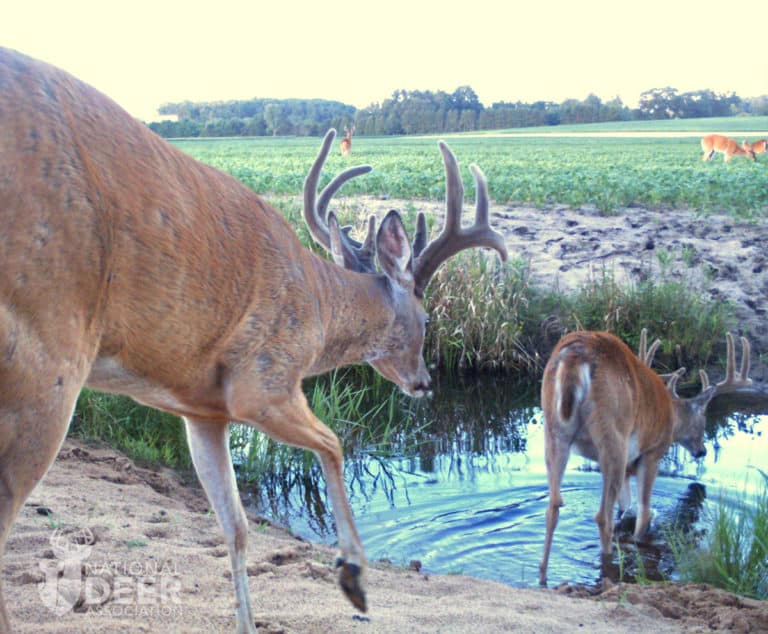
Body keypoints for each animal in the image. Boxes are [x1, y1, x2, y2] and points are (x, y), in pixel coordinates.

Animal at [0, 48, 508, 633]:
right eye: (426, 319)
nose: (425, 383)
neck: (316, 302)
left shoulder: (200, 410)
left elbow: (236, 527)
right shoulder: (263, 381)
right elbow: (334, 444)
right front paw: (353, 578)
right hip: (48, 348)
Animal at [537, 328, 762, 586]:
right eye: (703, 418)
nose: (702, 450)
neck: (672, 414)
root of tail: (574, 354)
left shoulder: (627, 467)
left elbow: (626, 508)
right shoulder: (652, 452)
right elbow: (643, 513)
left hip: (554, 432)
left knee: (553, 506)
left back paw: (543, 577)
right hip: (613, 434)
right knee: (602, 516)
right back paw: (609, 569)